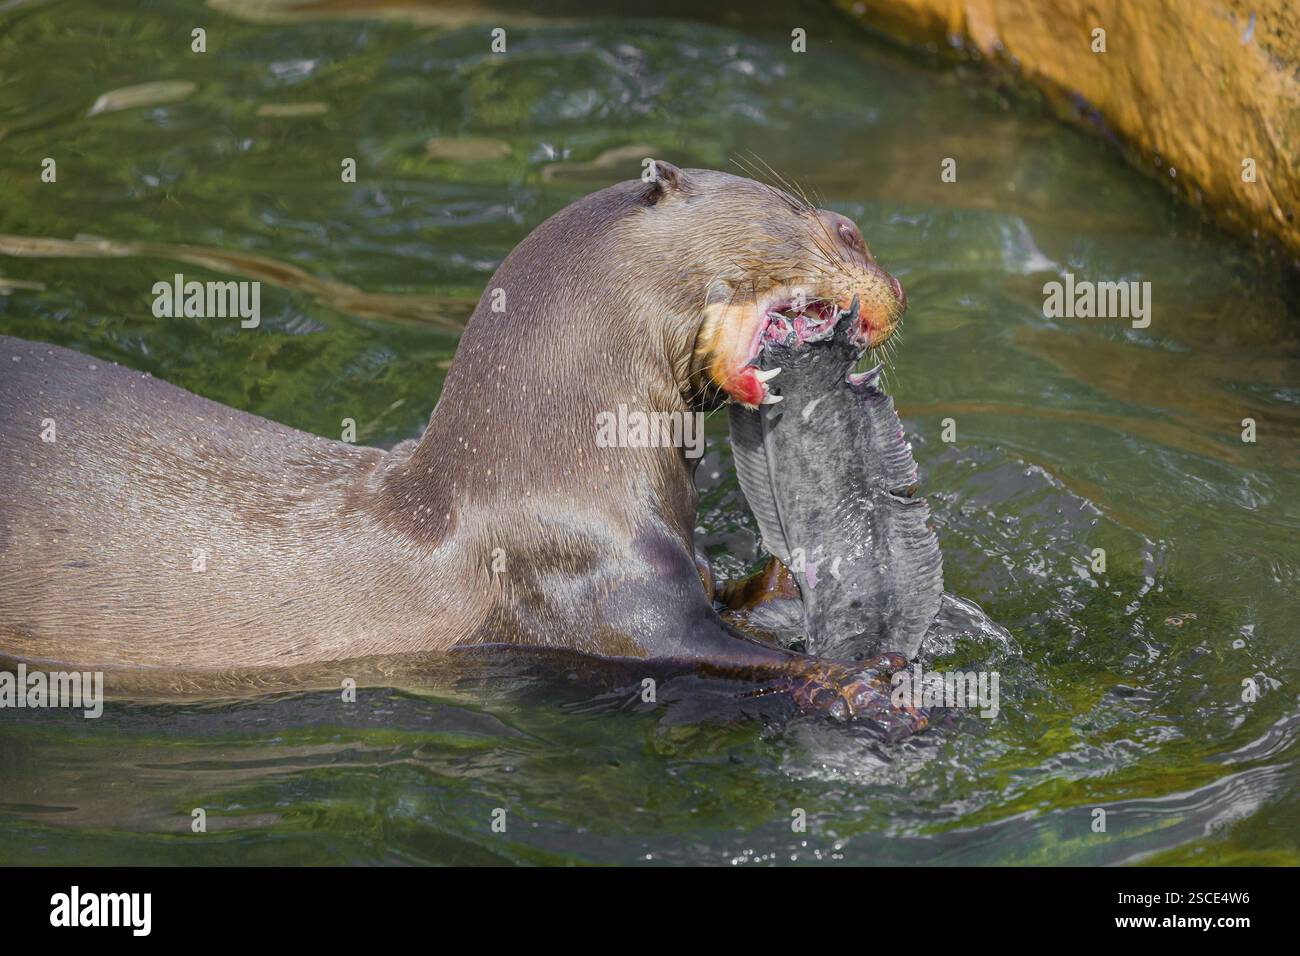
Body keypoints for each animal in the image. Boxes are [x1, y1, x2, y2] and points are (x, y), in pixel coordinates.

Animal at [0, 163, 909, 716]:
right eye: (816, 219)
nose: (886, 266)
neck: (560, 469)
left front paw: (787, 580)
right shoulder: (608, 593)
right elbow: (697, 651)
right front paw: (858, 681)